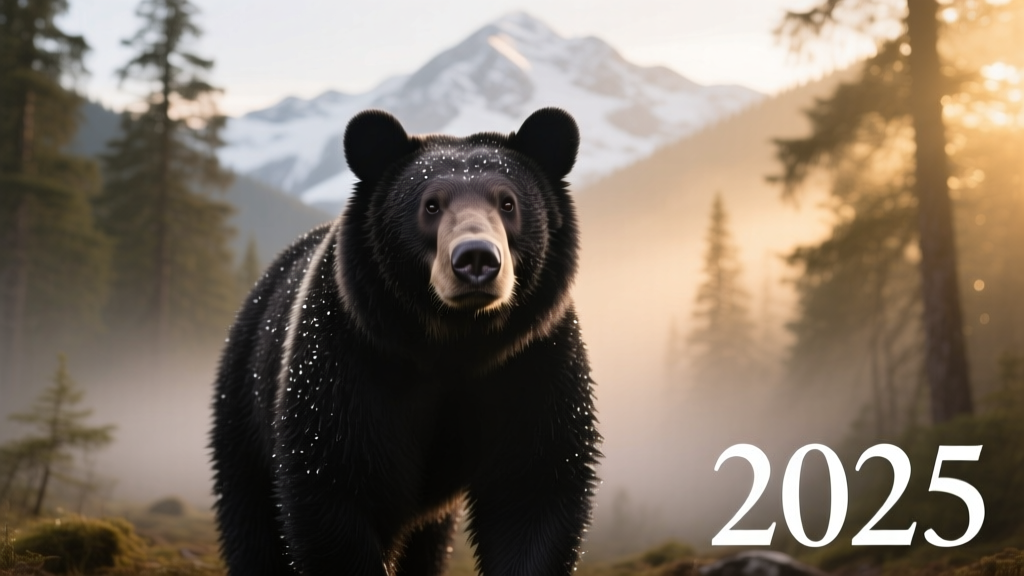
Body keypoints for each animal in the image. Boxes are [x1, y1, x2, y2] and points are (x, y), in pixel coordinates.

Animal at [210, 107, 600, 576]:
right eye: (430, 204)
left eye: (508, 202)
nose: (476, 259)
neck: (455, 342)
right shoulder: (350, 357)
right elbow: (335, 484)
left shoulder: (533, 358)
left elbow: (534, 486)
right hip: (245, 402)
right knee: (250, 520)